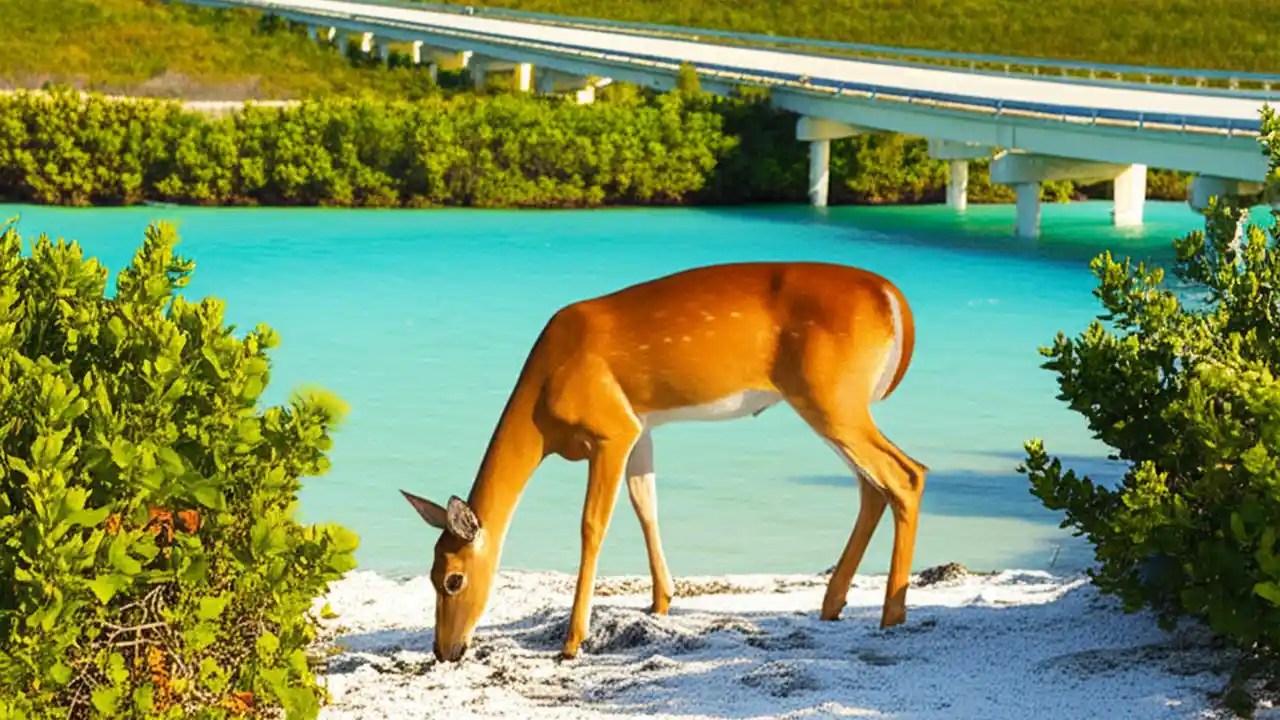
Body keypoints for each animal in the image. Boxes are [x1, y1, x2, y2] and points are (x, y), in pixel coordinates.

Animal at [402, 261, 926, 662]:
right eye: (428, 574)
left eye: (453, 579)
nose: (445, 651)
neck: (544, 404)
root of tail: (895, 301)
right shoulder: (642, 427)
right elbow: (646, 506)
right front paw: (660, 603)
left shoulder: (611, 428)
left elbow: (593, 525)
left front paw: (572, 643)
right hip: (829, 401)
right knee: (872, 486)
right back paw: (832, 604)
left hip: (831, 394)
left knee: (906, 474)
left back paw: (891, 615)